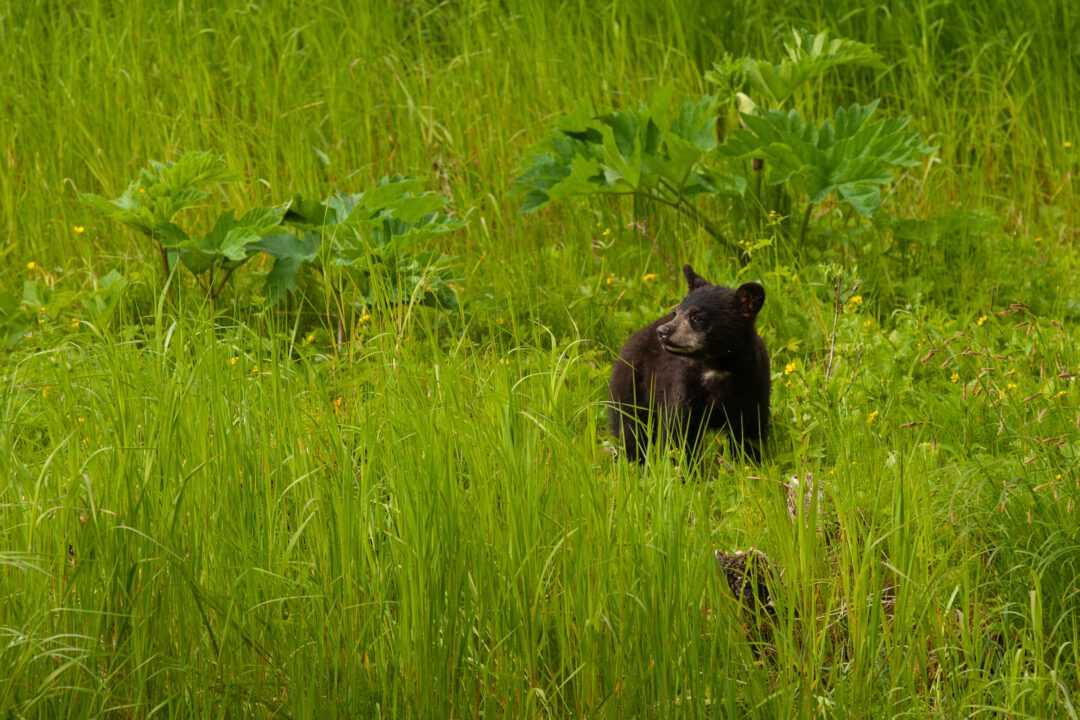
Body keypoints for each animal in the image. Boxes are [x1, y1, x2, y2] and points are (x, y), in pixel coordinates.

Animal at [608, 264, 770, 463]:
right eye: (675, 313)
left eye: (697, 318)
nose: (663, 331)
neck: (717, 366)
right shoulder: (684, 386)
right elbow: (679, 431)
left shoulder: (752, 384)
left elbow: (749, 432)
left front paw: (749, 462)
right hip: (633, 383)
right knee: (629, 424)